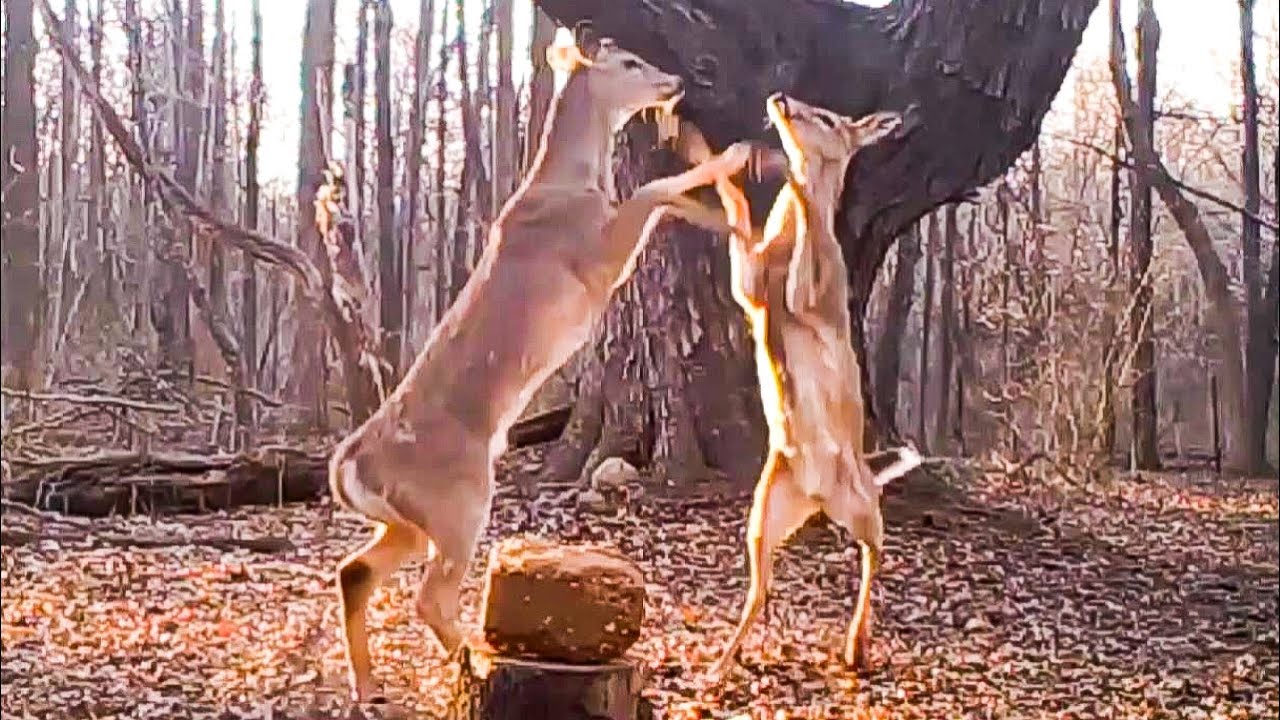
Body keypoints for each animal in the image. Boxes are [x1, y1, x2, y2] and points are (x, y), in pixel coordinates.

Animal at [326, 28, 759, 703]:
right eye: (628, 61)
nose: (675, 80)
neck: (573, 184)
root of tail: (350, 461)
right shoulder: (598, 259)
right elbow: (649, 193)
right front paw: (735, 155)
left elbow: (666, 199)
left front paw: (731, 215)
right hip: (459, 502)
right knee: (428, 595)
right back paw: (468, 661)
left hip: (412, 520)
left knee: (355, 572)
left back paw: (370, 687)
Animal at [685, 93, 922, 681]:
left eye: (831, 119)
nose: (781, 99)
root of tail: (819, 495)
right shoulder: (750, 288)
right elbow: (737, 216)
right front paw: (709, 150)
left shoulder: (819, 298)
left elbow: (812, 237)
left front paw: (796, 175)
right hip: (766, 509)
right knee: (761, 586)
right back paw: (721, 664)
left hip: (863, 505)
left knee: (876, 553)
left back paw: (856, 645)